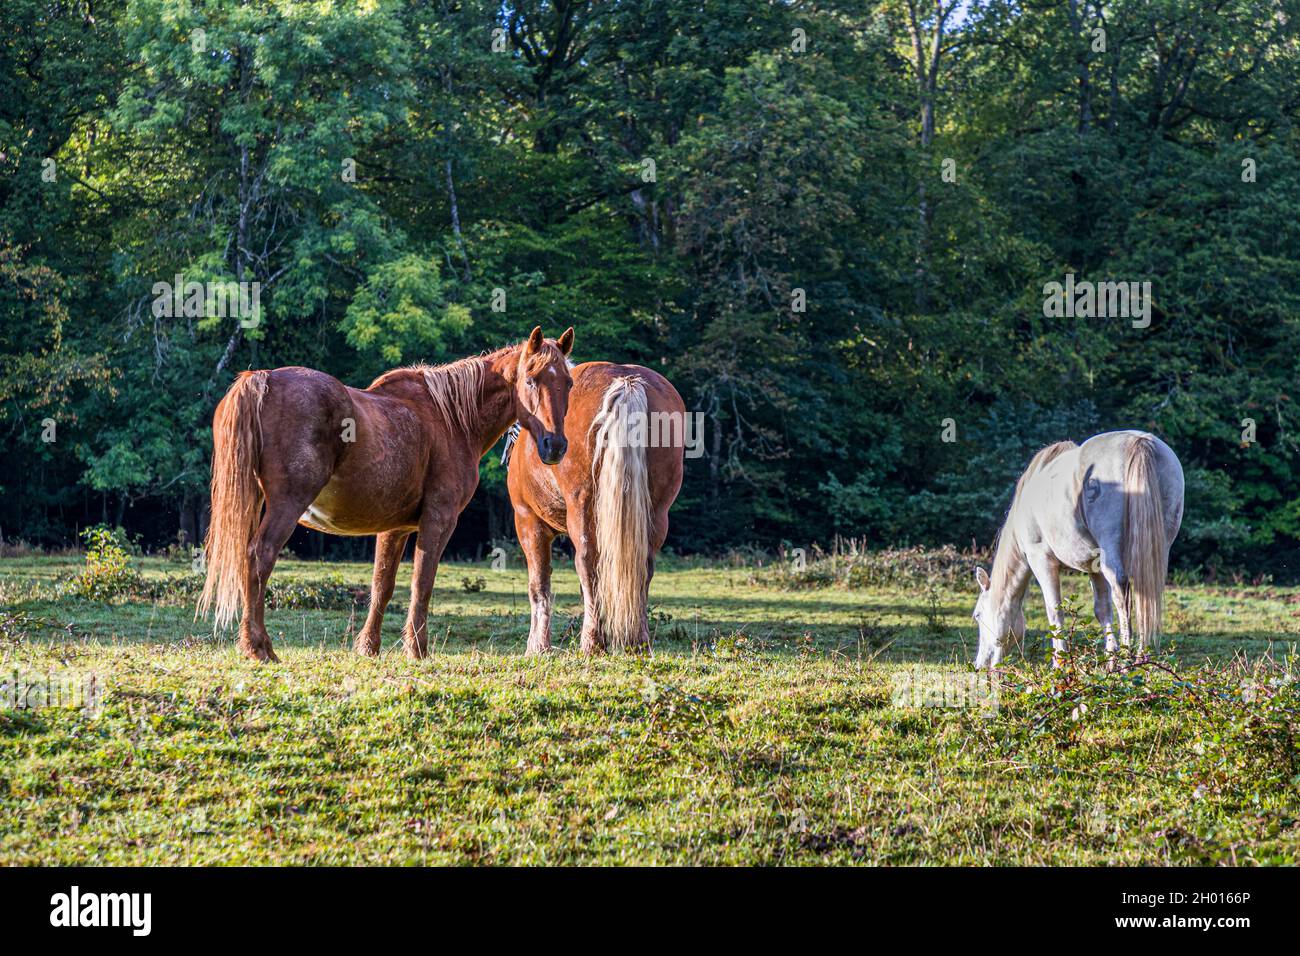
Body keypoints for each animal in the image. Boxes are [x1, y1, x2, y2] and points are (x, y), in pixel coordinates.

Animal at [197, 326, 575, 662]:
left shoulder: (395, 528)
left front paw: (369, 647)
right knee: (259, 557)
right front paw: (417, 650)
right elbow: (422, 582)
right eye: (531, 379)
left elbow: (383, 585)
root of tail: (264, 378)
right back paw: (259, 646)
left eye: (568, 384)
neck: (451, 419)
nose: (555, 446)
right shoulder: (439, 520)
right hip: (286, 506)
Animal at [507, 362, 686, 655]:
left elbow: (539, 585)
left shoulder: (529, 521)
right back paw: (637, 641)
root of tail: (625, 381)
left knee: (588, 563)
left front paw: (537, 647)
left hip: (583, 508)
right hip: (656, 513)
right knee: (643, 566)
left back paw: (592, 642)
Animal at [972, 430, 1184, 669]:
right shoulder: (1094, 568)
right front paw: (1109, 658)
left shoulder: (1041, 560)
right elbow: (1102, 610)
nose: (979, 664)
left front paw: (1060, 662)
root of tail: (1139, 442)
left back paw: (1128, 660)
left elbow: (1054, 609)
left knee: (1122, 593)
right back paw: (1142, 658)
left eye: (977, 615)